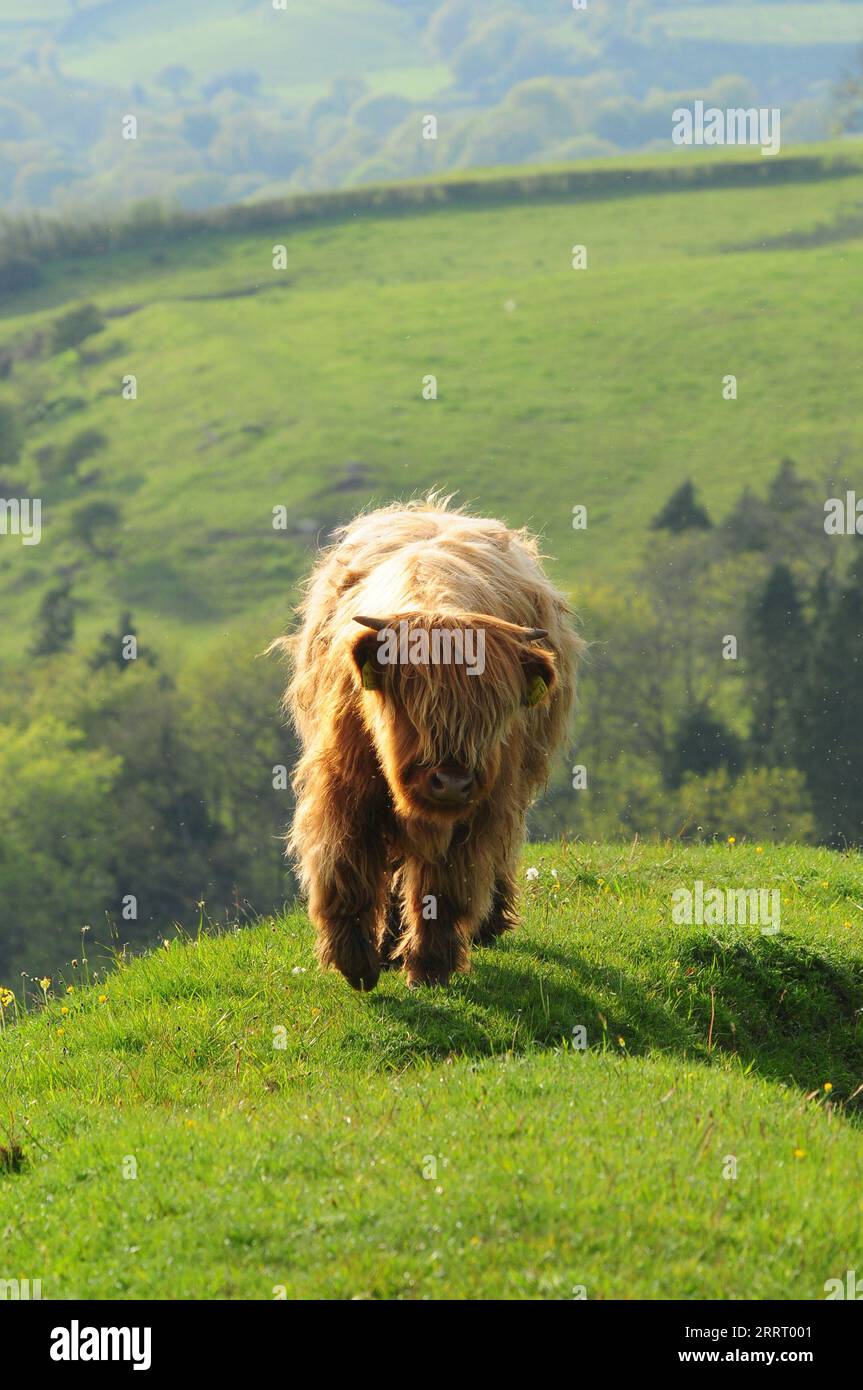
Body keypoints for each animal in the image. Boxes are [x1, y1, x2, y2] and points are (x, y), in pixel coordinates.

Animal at [271, 497, 583, 989]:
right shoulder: (343, 783)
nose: (451, 783)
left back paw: (484, 925)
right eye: (414, 711)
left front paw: (429, 967)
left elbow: (446, 886)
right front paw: (356, 961)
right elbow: (343, 861)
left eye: (495, 714)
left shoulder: (483, 804)